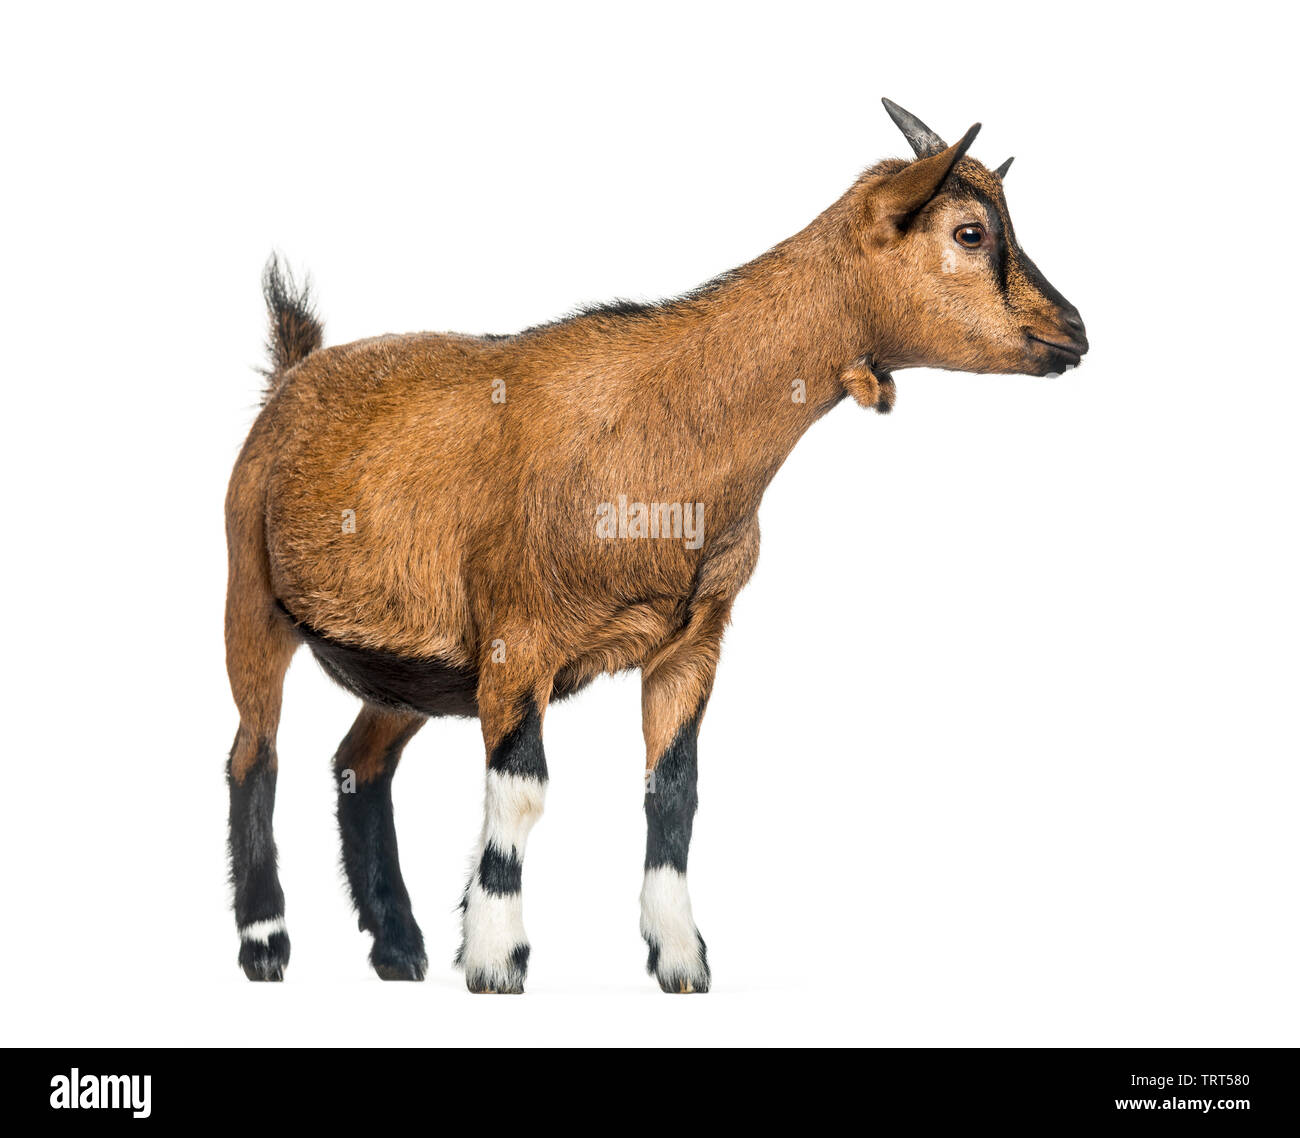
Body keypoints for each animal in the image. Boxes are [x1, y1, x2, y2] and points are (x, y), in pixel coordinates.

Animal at [225, 99, 1088, 992]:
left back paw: (398, 948)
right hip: (250, 592)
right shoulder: (516, 643)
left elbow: (674, 792)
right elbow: (521, 793)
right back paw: (266, 943)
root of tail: (294, 371)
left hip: (410, 674)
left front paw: (679, 957)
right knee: (254, 755)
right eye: (970, 233)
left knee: (359, 764)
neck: (664, 422)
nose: (1074, 332)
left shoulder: (690, 641)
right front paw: (497, 958)